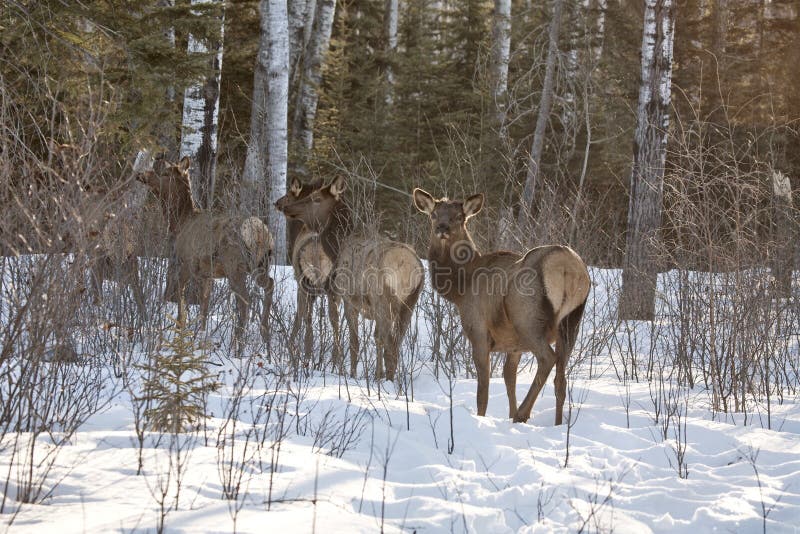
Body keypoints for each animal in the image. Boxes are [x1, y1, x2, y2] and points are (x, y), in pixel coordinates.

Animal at [137, 156, 274, 348]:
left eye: (164, 173)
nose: (140, 174)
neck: (180, 223)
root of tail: (259, 232)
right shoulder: (207, 273)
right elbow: (205, 303)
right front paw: (200, 333)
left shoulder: (186, 262)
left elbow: (181, 294)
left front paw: (180, 328)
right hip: (262, 263)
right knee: (269, 284)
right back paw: (265, 335)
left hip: (234, 266)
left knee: (245, 300)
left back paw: (238, 342)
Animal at [278, 176, 424, 381]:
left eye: (316, 198)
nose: (285, 207)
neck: (336, 247)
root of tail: (410, 266)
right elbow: (373, 338)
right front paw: (373, 374)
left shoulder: (348, 298)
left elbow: (354, 341)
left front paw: (351, 374)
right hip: (410, 301)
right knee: (396, 342)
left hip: (383, 298)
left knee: (389, 342)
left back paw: (387, 380)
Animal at [413, 188, 590, 424]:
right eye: (433, 214)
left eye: (459, 217)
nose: (442, 228)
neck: (459, 289)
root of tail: (567, 268)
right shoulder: (514, 344)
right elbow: (509, 378)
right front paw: (510, 413)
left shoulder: (478, 332)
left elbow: (483, 390)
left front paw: (484, 417)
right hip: (572, 321)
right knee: (561, 379)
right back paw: (556, 423)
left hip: (527, 318)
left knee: (547, 359)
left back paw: (523, 414)